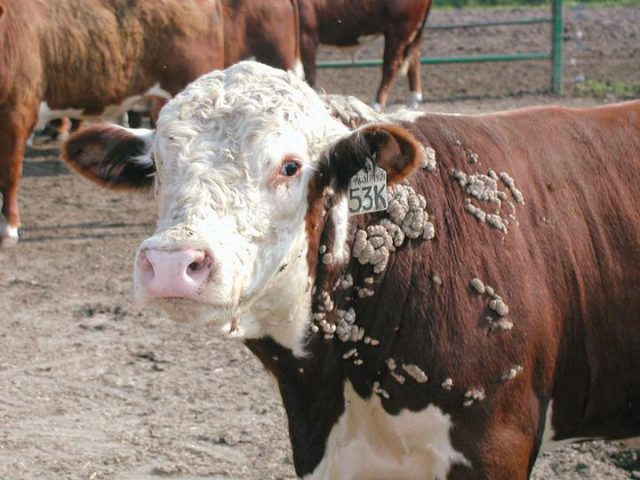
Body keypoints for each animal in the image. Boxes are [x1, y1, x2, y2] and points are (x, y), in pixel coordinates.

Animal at [298, 0, 432, 112]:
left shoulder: (307, 36)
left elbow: (309, 74)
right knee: (413, 61)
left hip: (398, 30)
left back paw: (377, 105)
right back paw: (414, 102)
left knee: (391, 65)